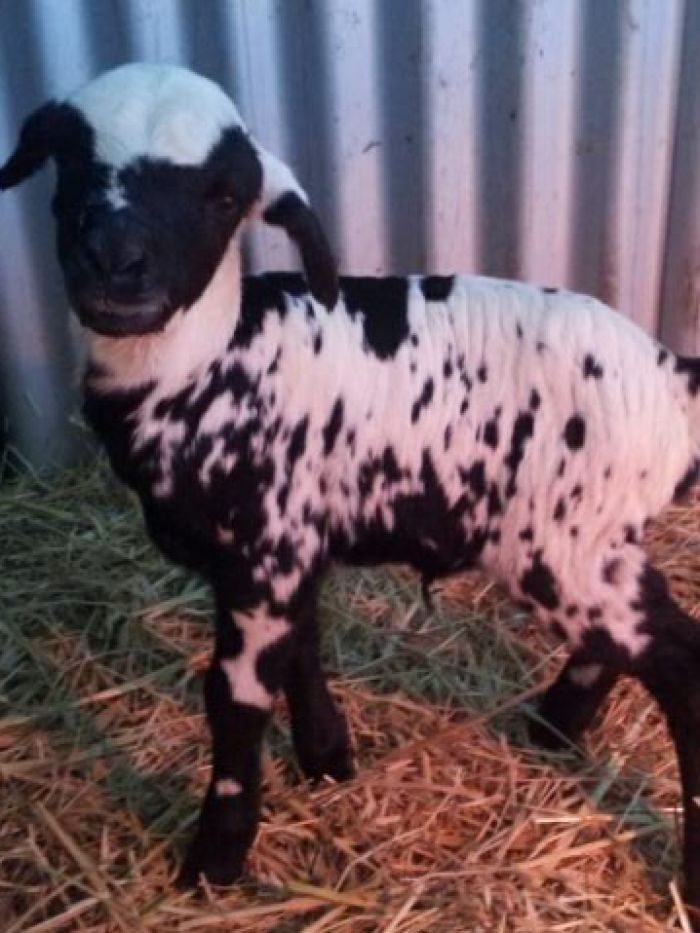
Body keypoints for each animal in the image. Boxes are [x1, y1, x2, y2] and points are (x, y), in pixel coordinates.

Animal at [3, 62, 700, 927]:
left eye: (222, 195)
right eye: (68, 160)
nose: (115, 261)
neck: (208, 359)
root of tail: (674, 380)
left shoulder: (264, 555)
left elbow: (234, 701)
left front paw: (216, 858)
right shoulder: (289, 544)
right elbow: (303, 647)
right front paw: (328, 757)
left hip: (563, 543)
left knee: (681, 661)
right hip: (593, 547)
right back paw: (554, 725)